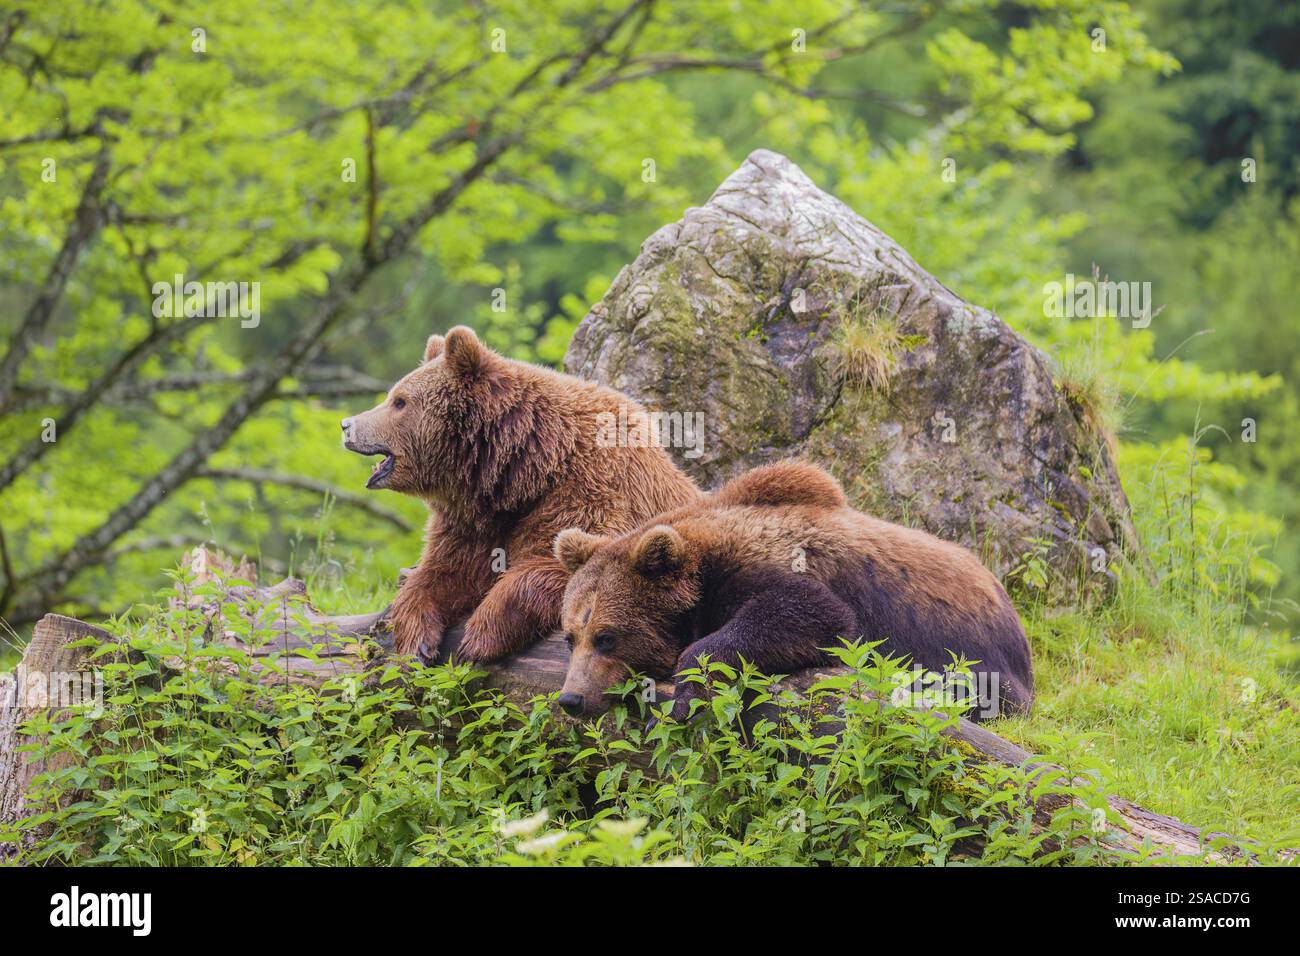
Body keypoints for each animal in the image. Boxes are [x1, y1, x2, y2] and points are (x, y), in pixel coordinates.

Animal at [342, 325, 702, 664]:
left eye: (399, 401)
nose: (347, 425)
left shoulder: (590, 489)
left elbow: (559, 563)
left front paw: (479, 637)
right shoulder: (475, 522)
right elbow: (443, 573)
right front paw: (415, 642)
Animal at [552, 460, 1034, 722]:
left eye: (607, 637)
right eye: (571, 636)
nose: (571, 698)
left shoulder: (774, 566)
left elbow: (810, 613)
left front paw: (688, 693)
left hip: (975, 655)